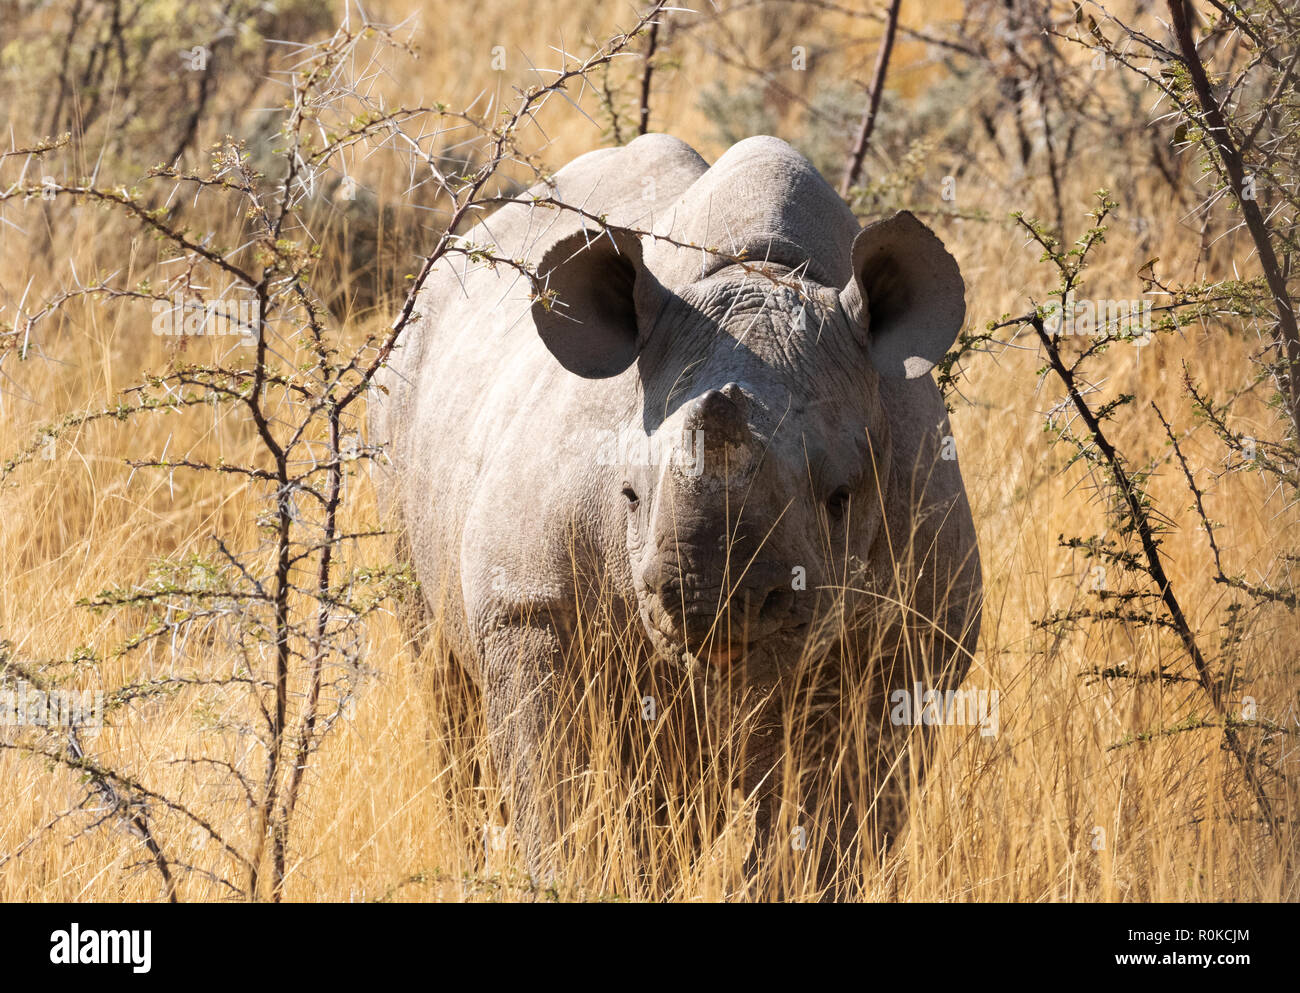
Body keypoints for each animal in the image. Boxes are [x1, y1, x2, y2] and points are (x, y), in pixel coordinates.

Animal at [369, 133, 982, 891]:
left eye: (841, 499)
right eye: (629, 495)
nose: (707, 600)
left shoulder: (914, 642)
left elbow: (832, 839)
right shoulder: (529, 608)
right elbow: (565, 808)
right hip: (402, 379)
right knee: (446, 688)